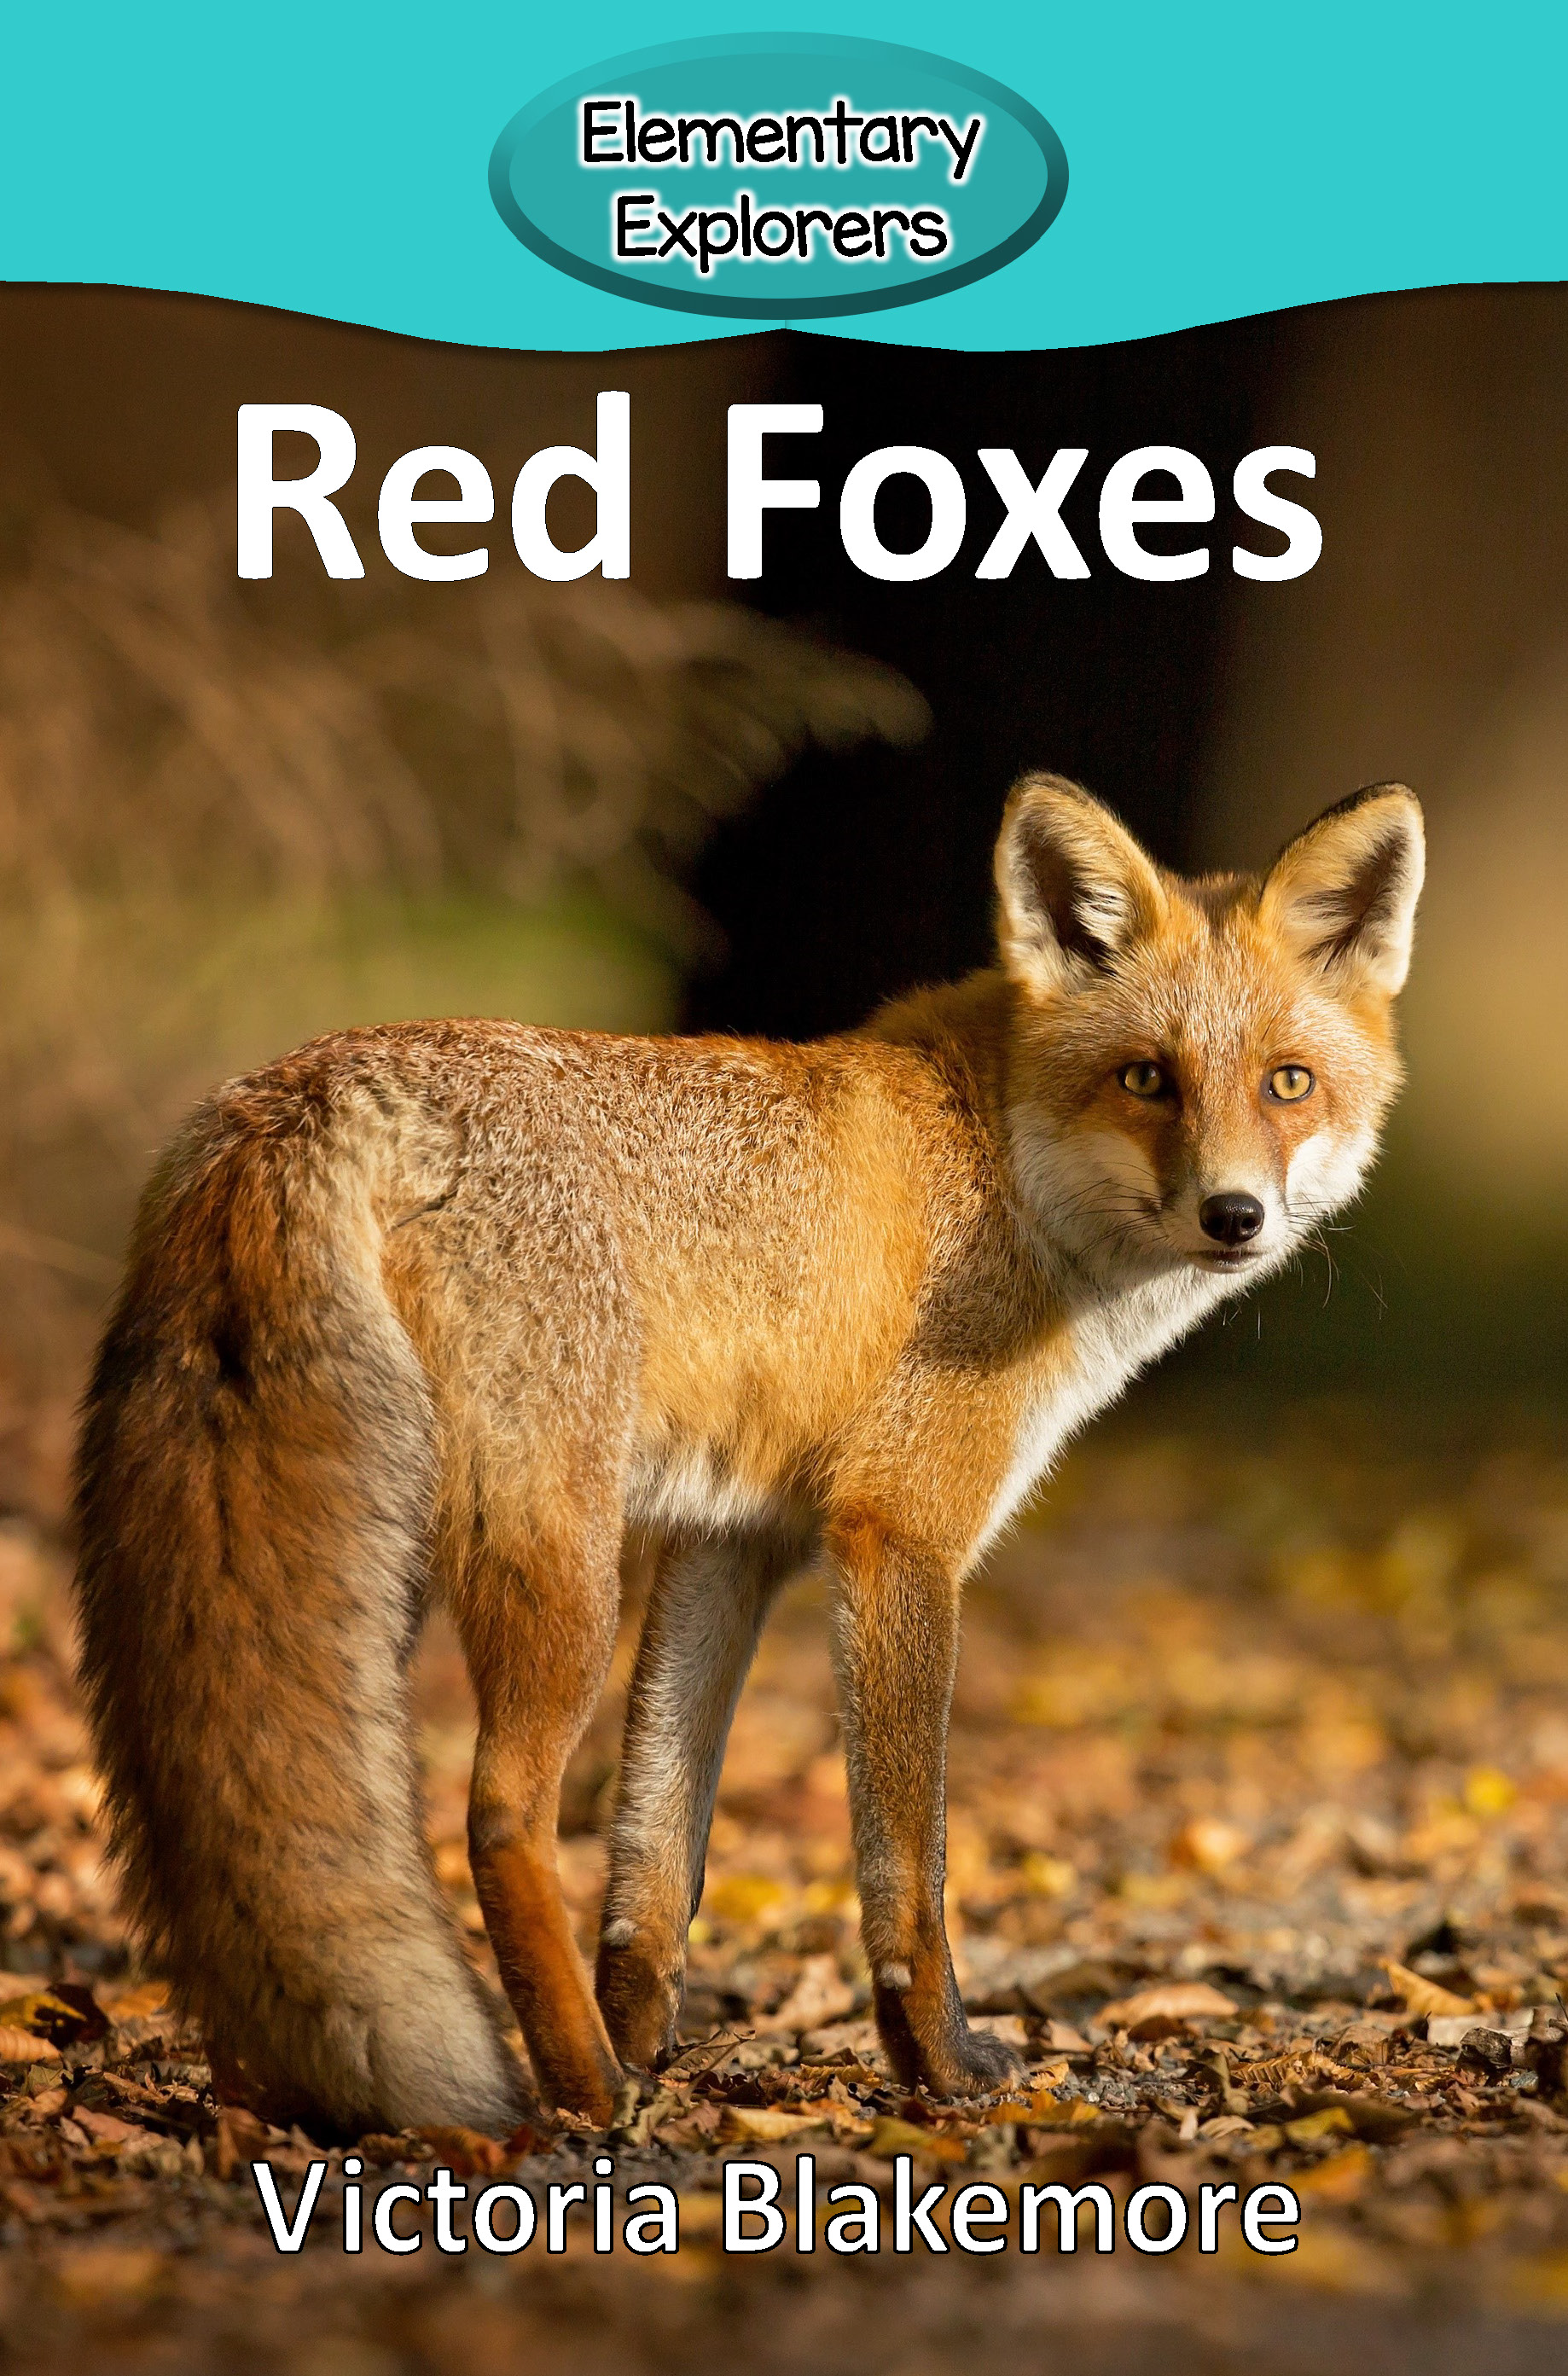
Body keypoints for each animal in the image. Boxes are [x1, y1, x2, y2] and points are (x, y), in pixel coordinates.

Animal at [72, 774, 1424, 2139]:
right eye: (1146, 1077)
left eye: (1287, 1082)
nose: (1233, 1216)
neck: (999, 1164)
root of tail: (305, 1091)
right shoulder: (895, 1531)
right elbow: (907, 1864)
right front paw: (937, 2065)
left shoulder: (730, 1537)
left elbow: (657, 1853)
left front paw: (651, 2034)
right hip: (553, 1566)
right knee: (498, 1815)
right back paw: (582, 2093)